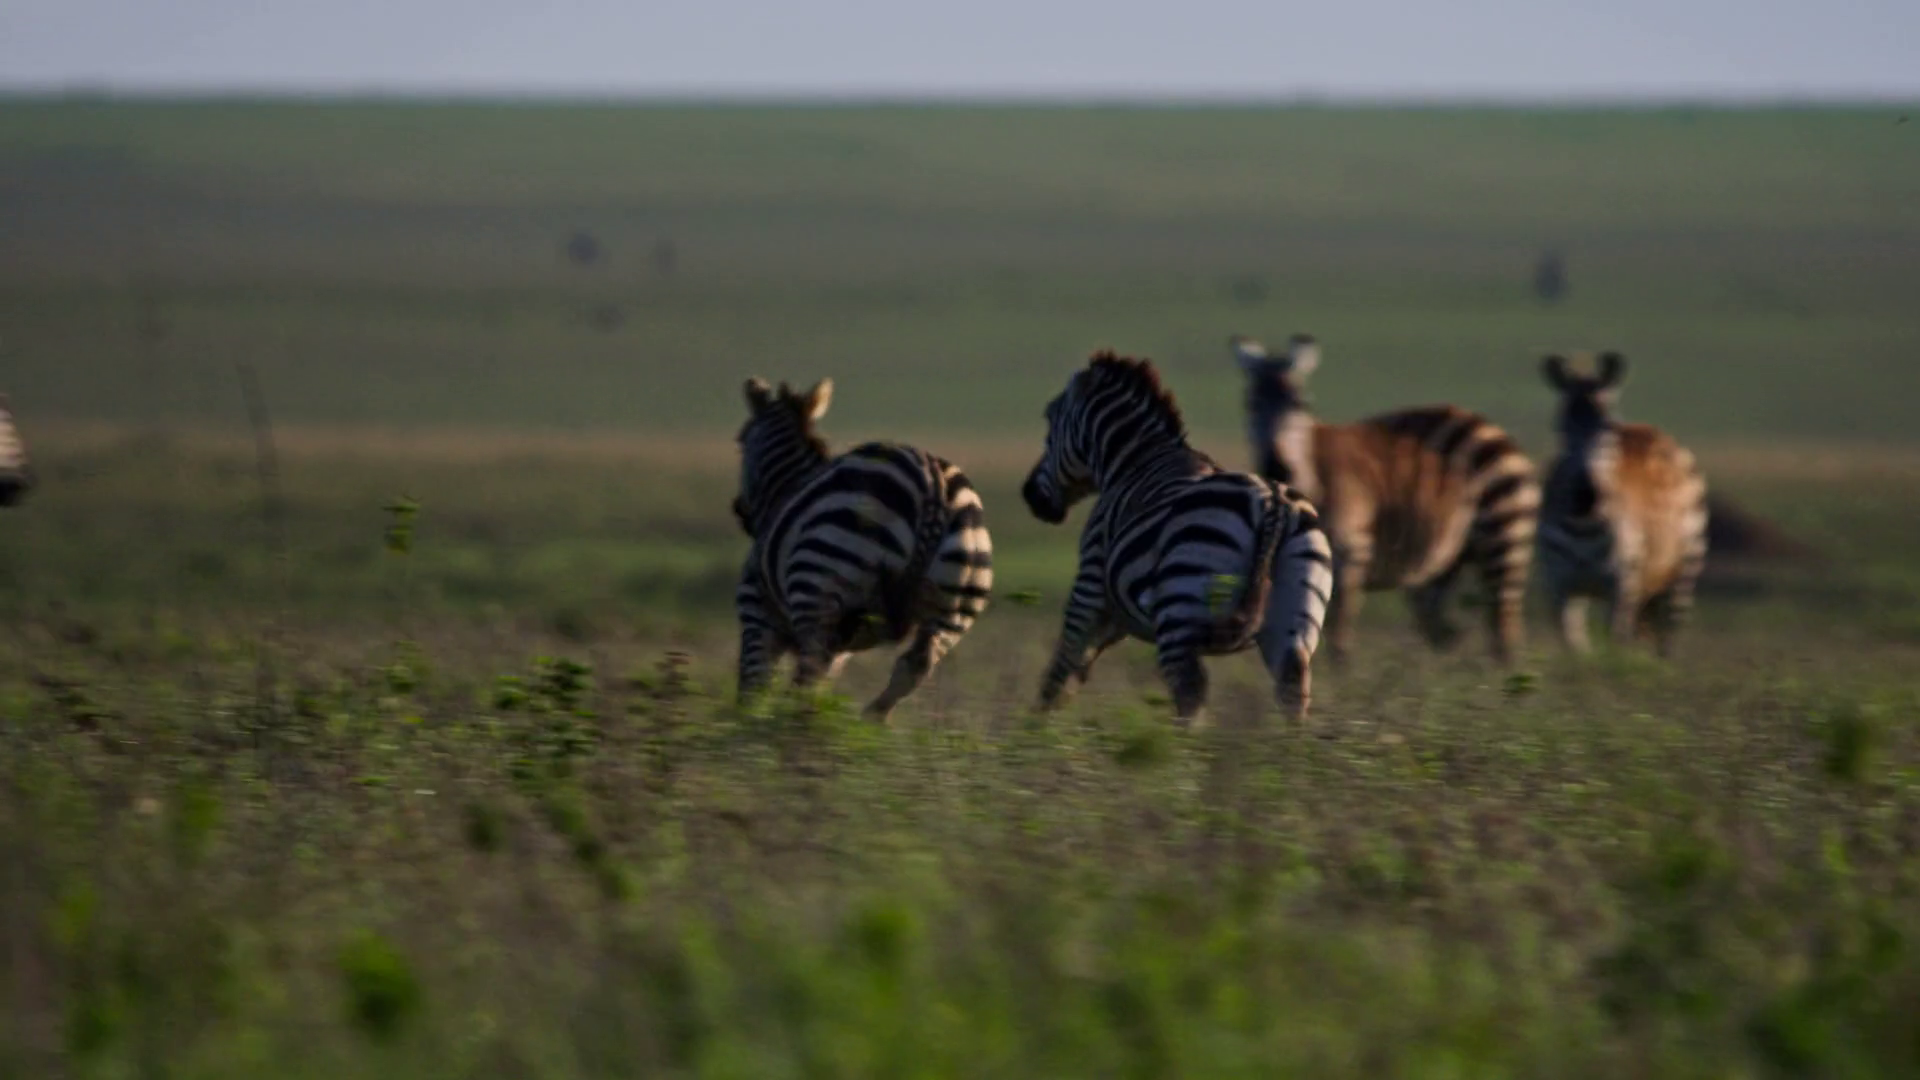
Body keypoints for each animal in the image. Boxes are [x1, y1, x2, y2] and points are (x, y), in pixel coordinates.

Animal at [733, 377, 992, 721]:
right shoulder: (842, 643)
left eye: (740, 441)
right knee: (913, 667)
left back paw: (795, 727)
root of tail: (932, 482)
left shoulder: (757, 611)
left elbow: (753, 688)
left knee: (808, 673)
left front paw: (746, 730)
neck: (786, 487)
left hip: (819, 581)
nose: (740, 511)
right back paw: (869, 720)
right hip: (956, 603)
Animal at [1021, 351, 1332, 725]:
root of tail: (1273, 503)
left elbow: (1063, 662)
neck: (1134, 460)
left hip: (1179, 606)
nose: (1029, 495)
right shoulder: (1117, 614)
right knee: (1292, 685)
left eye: (1050, 420)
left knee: (1189, 690)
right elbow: (1074, 671)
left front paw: (1036, 728)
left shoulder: (1091, 582)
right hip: (1298, 611)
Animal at [1232, 333, 1540, 665]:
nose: (1277, 466)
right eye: (1250, 404)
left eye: (1301, 403)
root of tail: (1489, 427)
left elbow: (1338, 633)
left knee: (1503, 629)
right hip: (1445, 563)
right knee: (1444, 629)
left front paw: (1340, 676)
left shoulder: (1350, 553)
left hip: (1504, 540)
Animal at [1539, 353, 1708, 656]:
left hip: (1685, 568)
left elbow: (1615, 645)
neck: (1583, 528)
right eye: (1559, 426)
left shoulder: (1622, 587)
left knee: (1668, 639)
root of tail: (1652, 431)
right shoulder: (1559, 588)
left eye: (1608, 427)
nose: (1585, 497)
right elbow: (1575, 649)